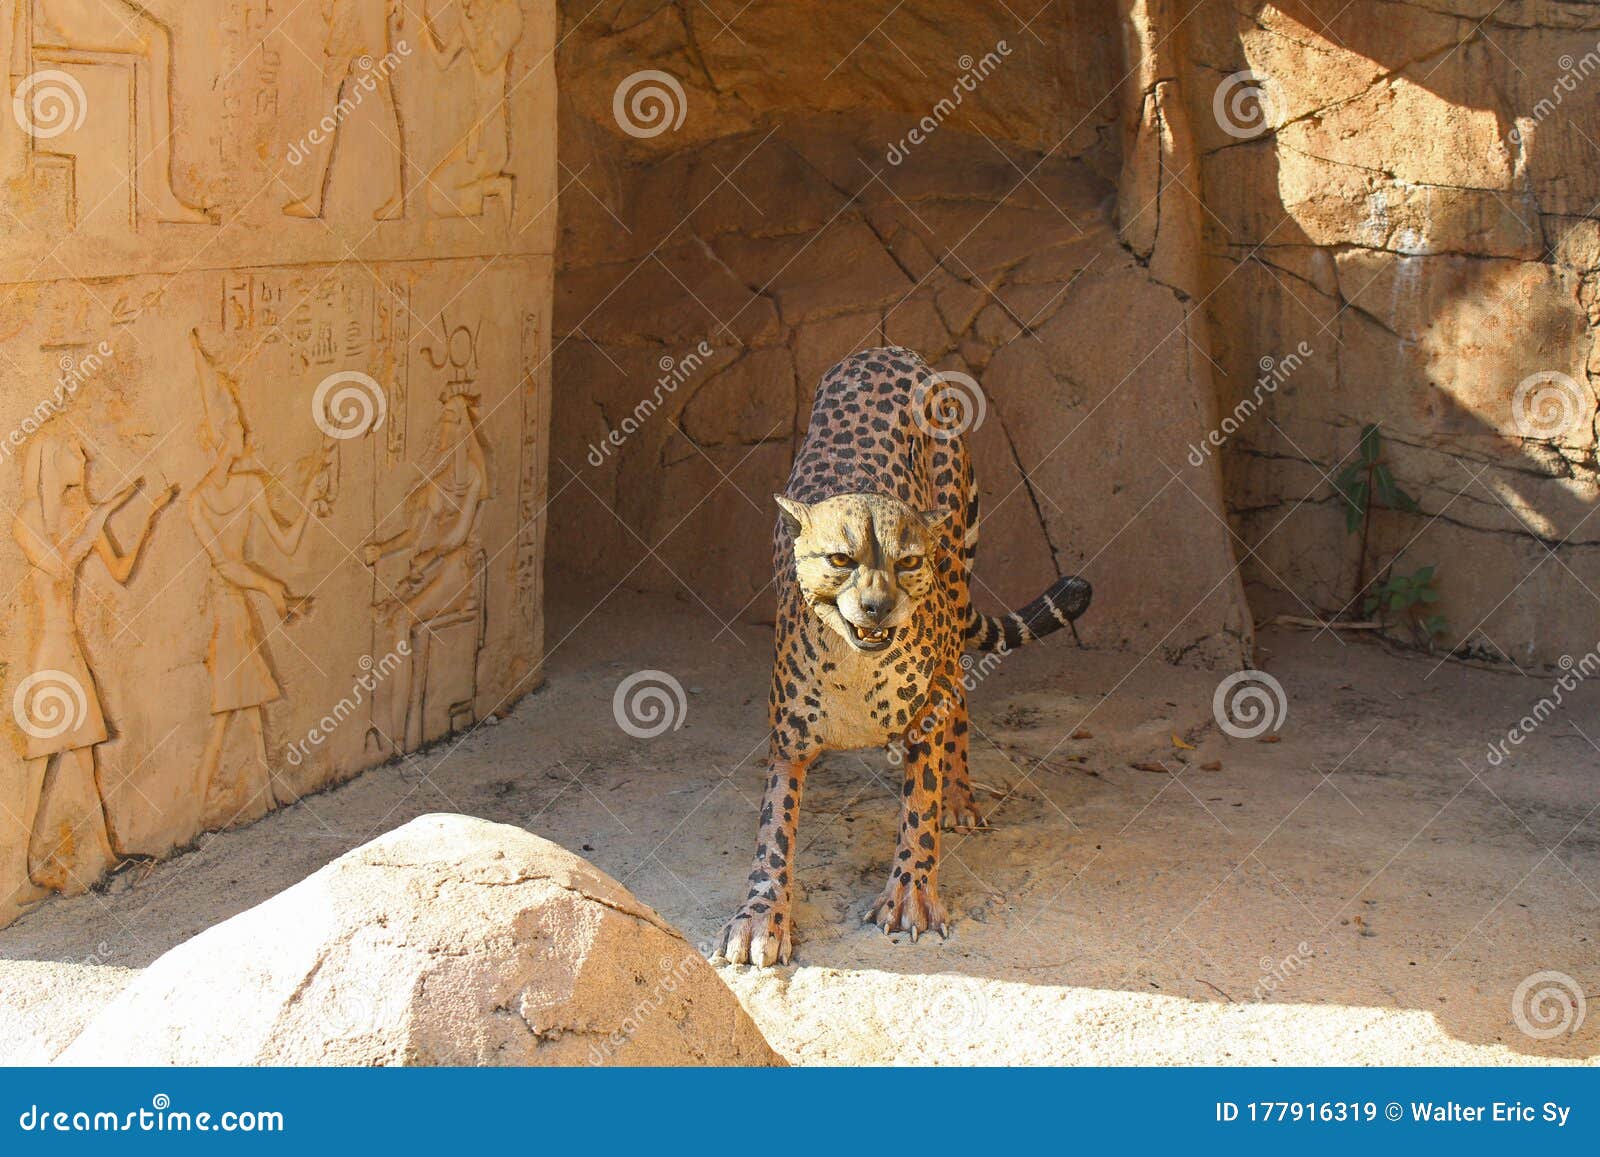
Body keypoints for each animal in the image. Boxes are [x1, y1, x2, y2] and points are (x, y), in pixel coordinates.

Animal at [715, 346, 1091, 967]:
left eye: (908, 562)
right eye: (841, 559)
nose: (876, 607)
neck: (855, 670)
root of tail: (885, 350)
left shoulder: (927, 713)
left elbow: (920, 807)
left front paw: (912, 893)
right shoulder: (788, 745)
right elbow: (773, 832)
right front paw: (760, 917)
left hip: (958, 569)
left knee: (960, 690)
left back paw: (960, 798)